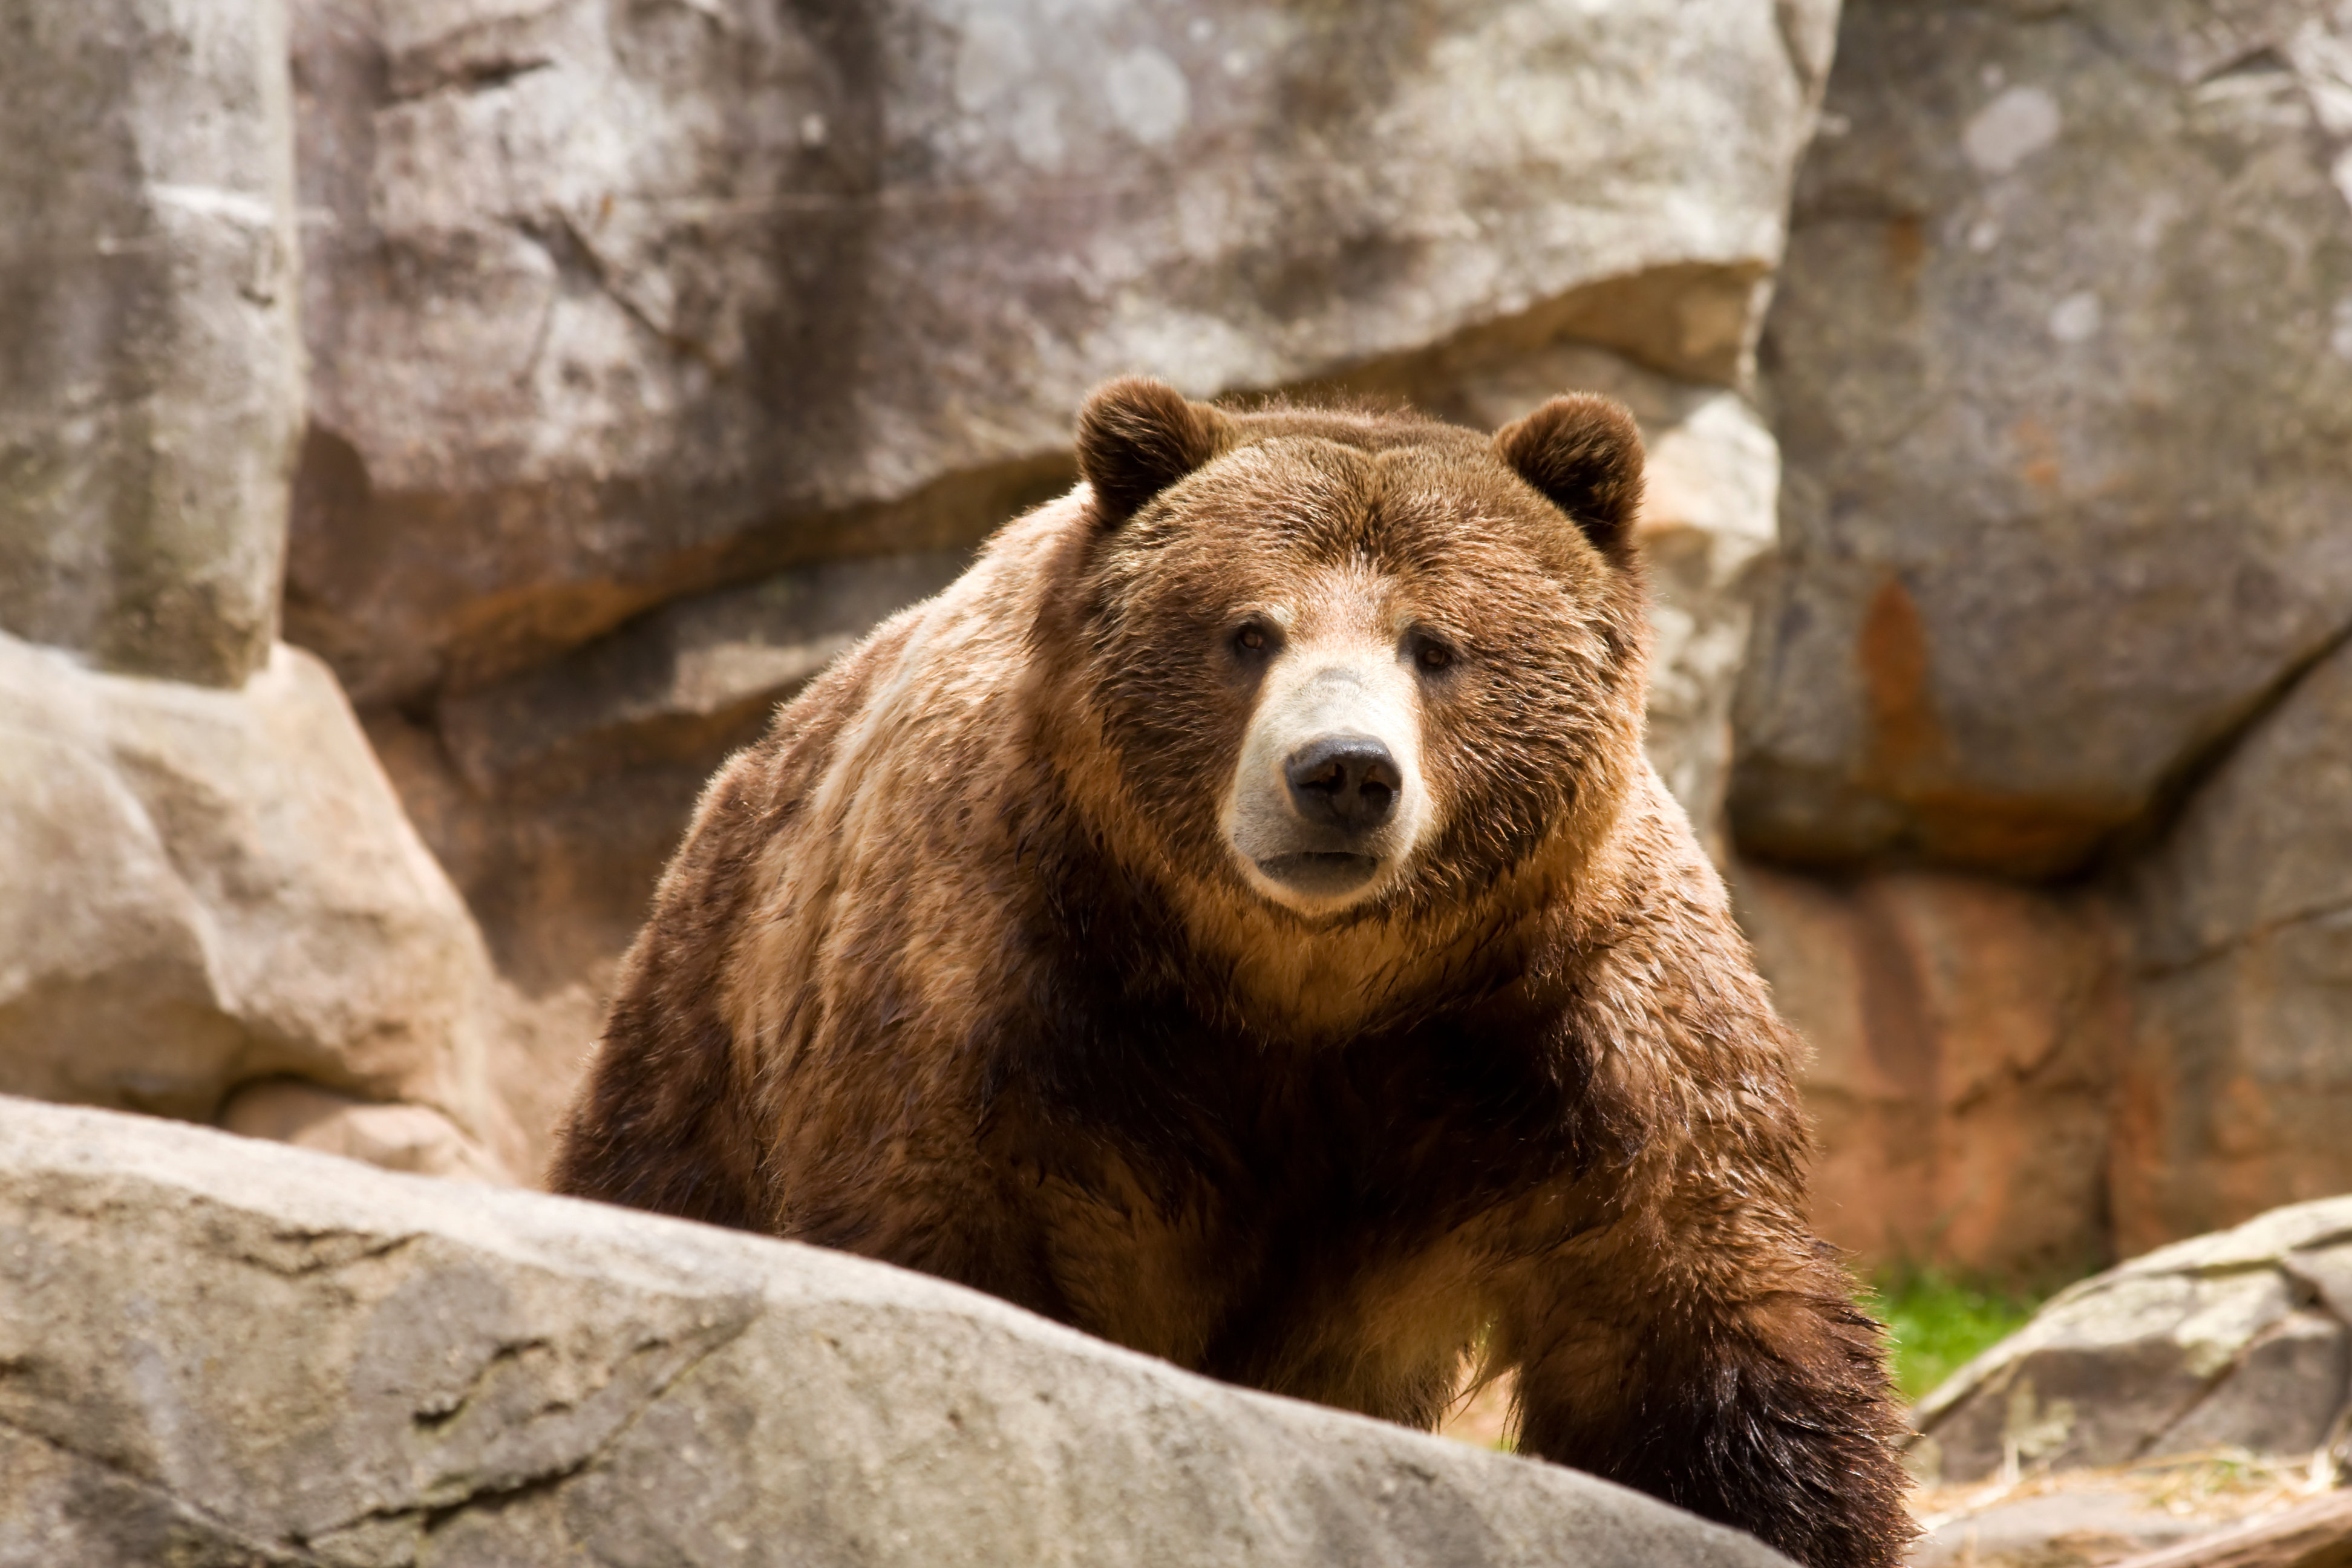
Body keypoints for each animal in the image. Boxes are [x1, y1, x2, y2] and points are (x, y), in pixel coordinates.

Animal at [551, 379, 1914, 1568]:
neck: (1302, 985)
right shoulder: (1002, 976)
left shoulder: (1568, 1016)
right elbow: (938, 1235)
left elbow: (1690, 1321)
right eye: (1250, 631)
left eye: (1435, 646)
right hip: (707, 1027)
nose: (1343, 772)